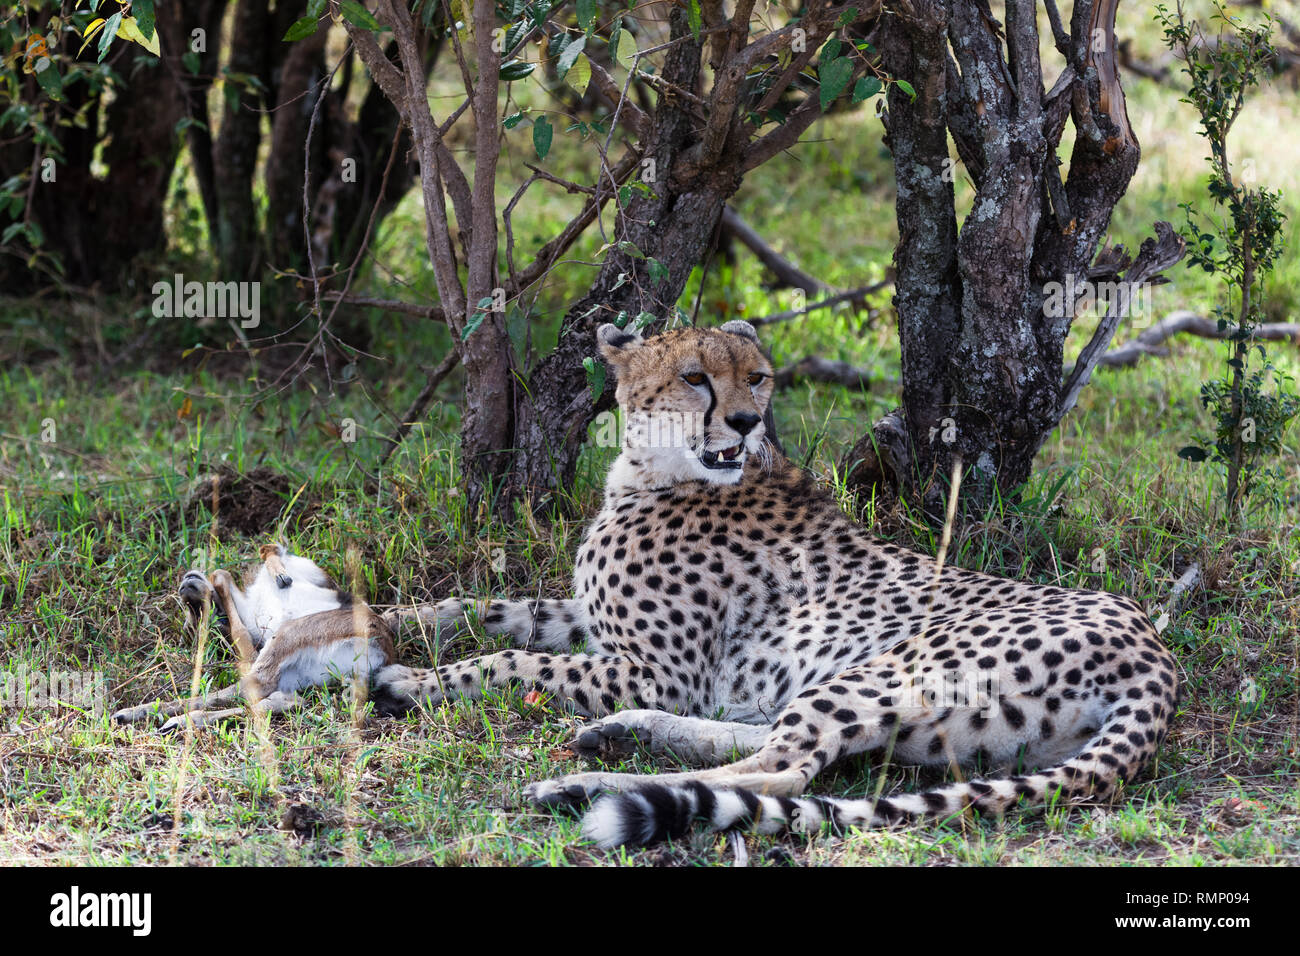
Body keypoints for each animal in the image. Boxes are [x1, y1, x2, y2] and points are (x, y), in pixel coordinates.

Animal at [368, 319, 1179, 849]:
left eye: (755, 377)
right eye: (695, 377)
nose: (744, 421)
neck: (659, 470)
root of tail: (1155, 652)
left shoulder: (661, 671)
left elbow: (517, 659)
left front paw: (411, 683)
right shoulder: (599, 628)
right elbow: (491, 609)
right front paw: (379, 624)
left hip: (889, 665)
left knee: (785, 772)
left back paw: (585, 787)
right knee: (777, 748)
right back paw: (622, 736)